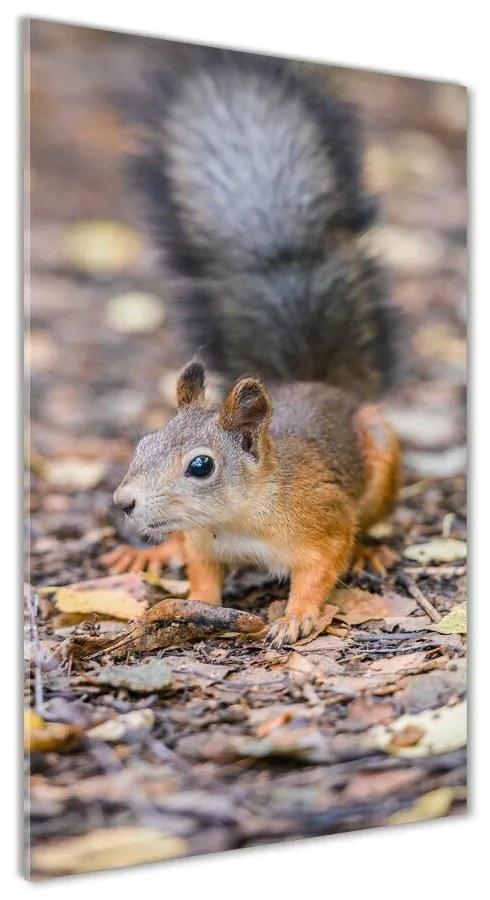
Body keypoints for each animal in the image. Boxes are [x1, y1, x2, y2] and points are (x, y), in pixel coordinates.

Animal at [106, 45, 402, 648]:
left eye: (201, 466)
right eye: (143, 443)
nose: (124, 503)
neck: (234, 520)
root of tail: (318, 383)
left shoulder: (322, 519)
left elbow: (323, 566)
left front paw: (297, 615)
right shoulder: (204, 544)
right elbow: (201, 576)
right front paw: (192, 600)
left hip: (382, 450)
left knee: (368, 520)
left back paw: (373, 548)